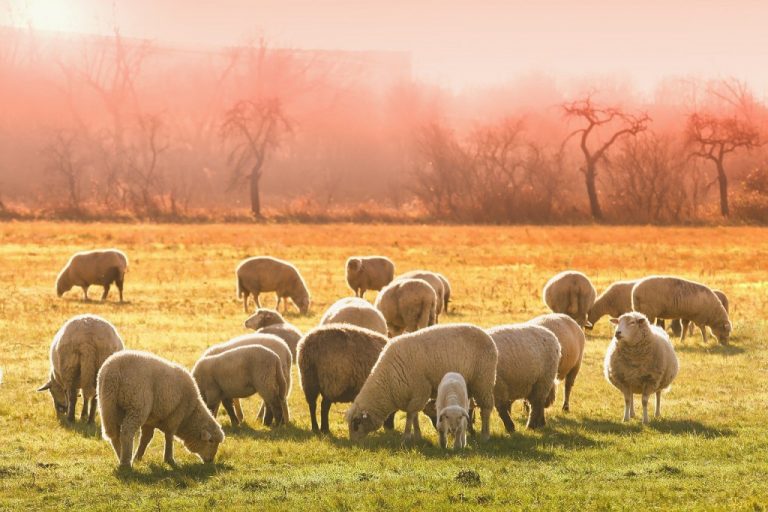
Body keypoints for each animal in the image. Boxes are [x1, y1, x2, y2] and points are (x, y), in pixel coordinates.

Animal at [346, 323, 497, 442]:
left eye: (356, 423)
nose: (353, 443)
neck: (388, 381)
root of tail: (487, 336)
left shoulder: (421, 389)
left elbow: (410, 415)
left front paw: (406, 437)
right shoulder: (413, 394)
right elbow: (414, 416)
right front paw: (417, 435)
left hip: (483, 381)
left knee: (486, 409)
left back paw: (485, 435)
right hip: (470, 385)